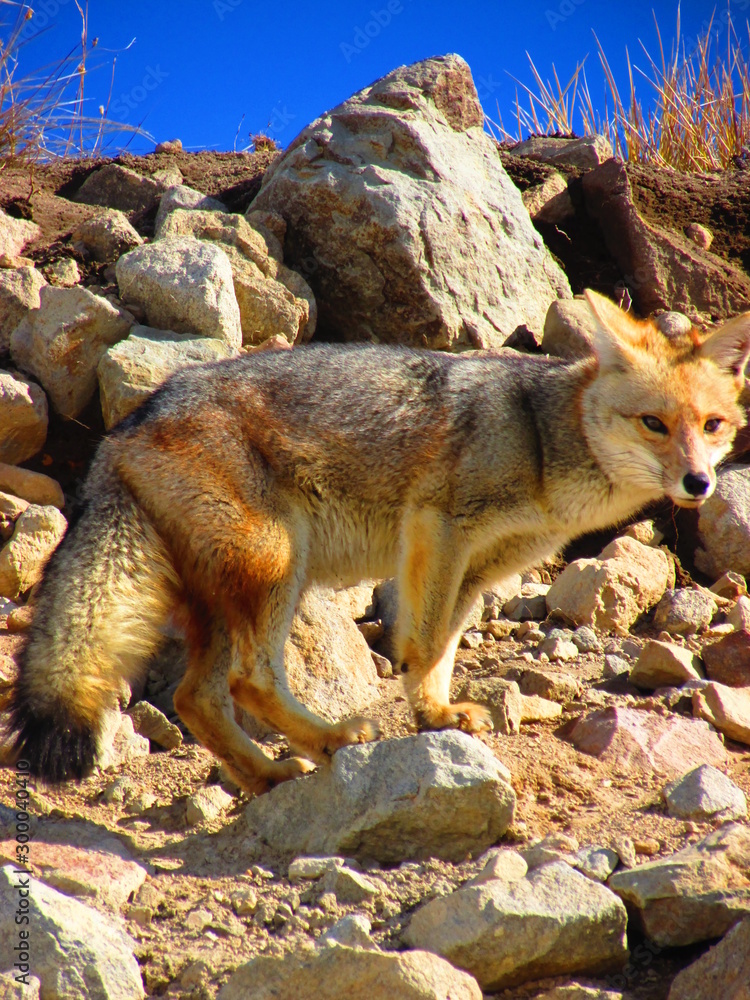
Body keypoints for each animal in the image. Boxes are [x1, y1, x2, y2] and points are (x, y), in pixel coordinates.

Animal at [6, 290, 750, 795]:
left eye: (712, 425)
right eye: (654, 423)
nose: (700, 483)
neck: (539, 437)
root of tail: (126, 426)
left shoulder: (476, 571)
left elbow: (443, 647)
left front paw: (437, 712)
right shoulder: (437, 528)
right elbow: (421, 642)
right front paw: (425, 717)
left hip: (233, 594)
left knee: (198, 699)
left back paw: (268, 774)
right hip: (279, 562)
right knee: (248, 681)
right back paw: (333, 736)